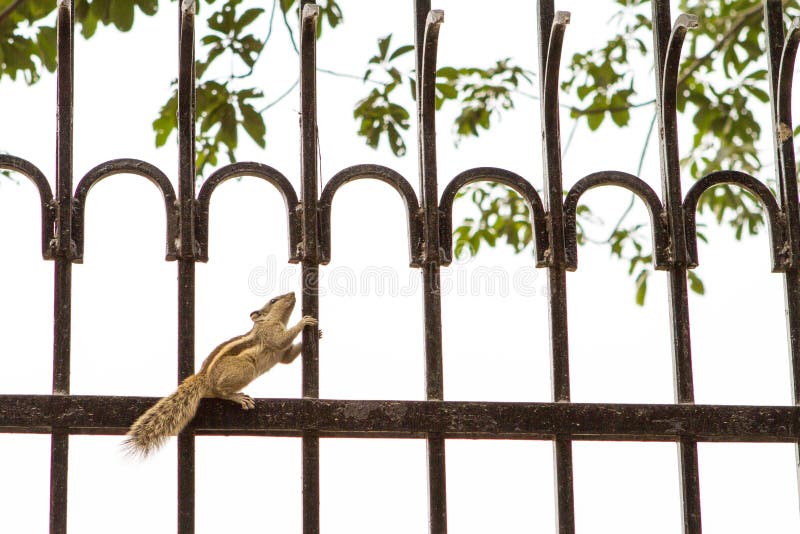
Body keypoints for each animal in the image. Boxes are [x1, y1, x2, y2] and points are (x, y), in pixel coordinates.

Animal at [123, 291, 318, 457]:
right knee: (220, 391)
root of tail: (203, 378)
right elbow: (281, 340)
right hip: (245, 369)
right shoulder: (271, 334)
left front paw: (318, 334)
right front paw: (303, 322)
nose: (293, 293)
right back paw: (238, 397)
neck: (269, 321)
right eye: (273, 300)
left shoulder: (283, 353)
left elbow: (289, 357)